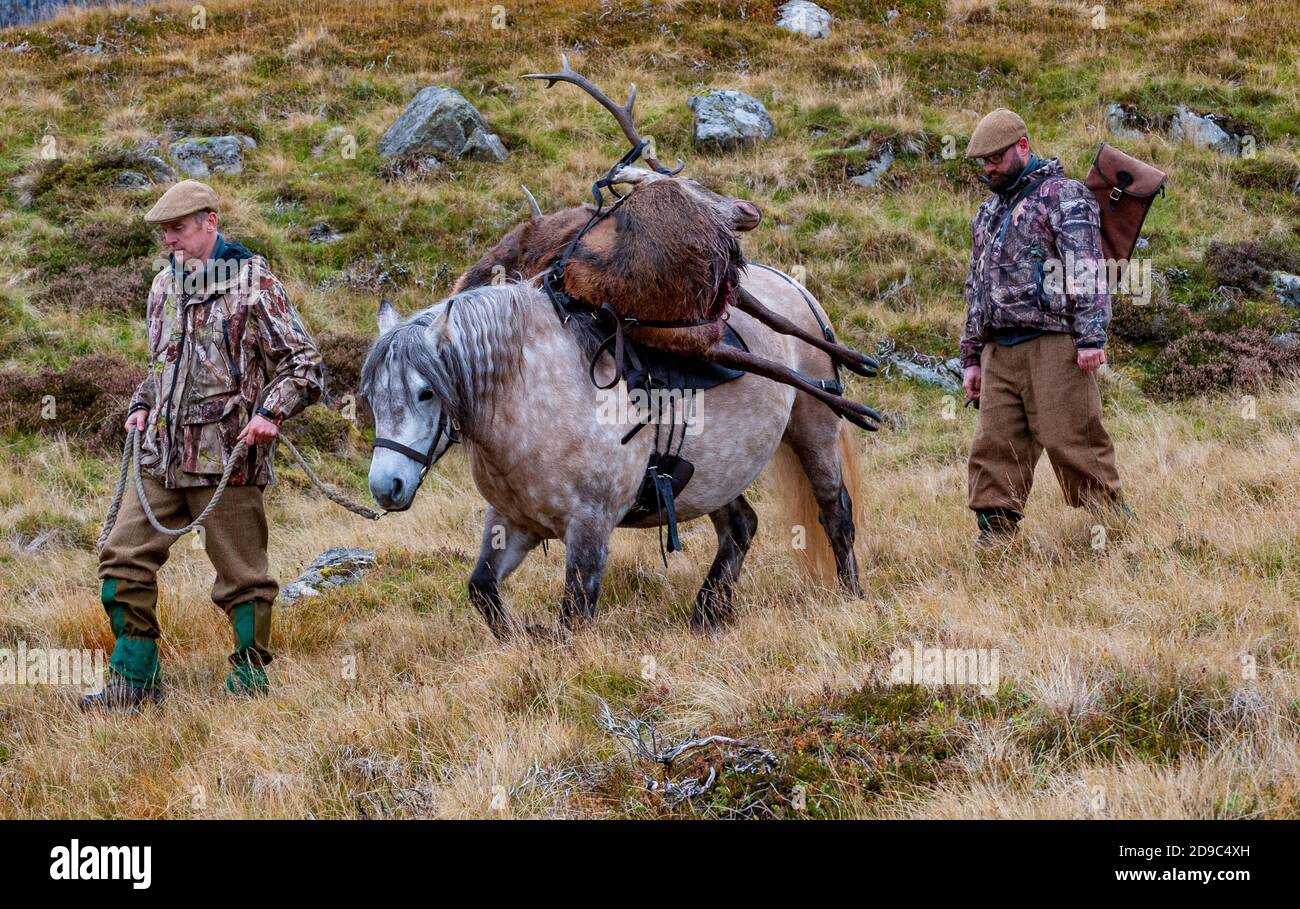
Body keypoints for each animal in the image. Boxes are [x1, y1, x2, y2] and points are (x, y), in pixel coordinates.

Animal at [361, 273, 865, 638]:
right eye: (370, 397)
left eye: (427, 392)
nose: (387, 486)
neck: (529, 394)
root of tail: (794, 286)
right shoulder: (513, 519)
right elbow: (483, 590)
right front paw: (523, 637)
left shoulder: (590, 524)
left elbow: (574, 618)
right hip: (715, 475)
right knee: (740, 528)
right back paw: (706, 617)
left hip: (813, 429)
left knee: (835, 513)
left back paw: (851, 597)